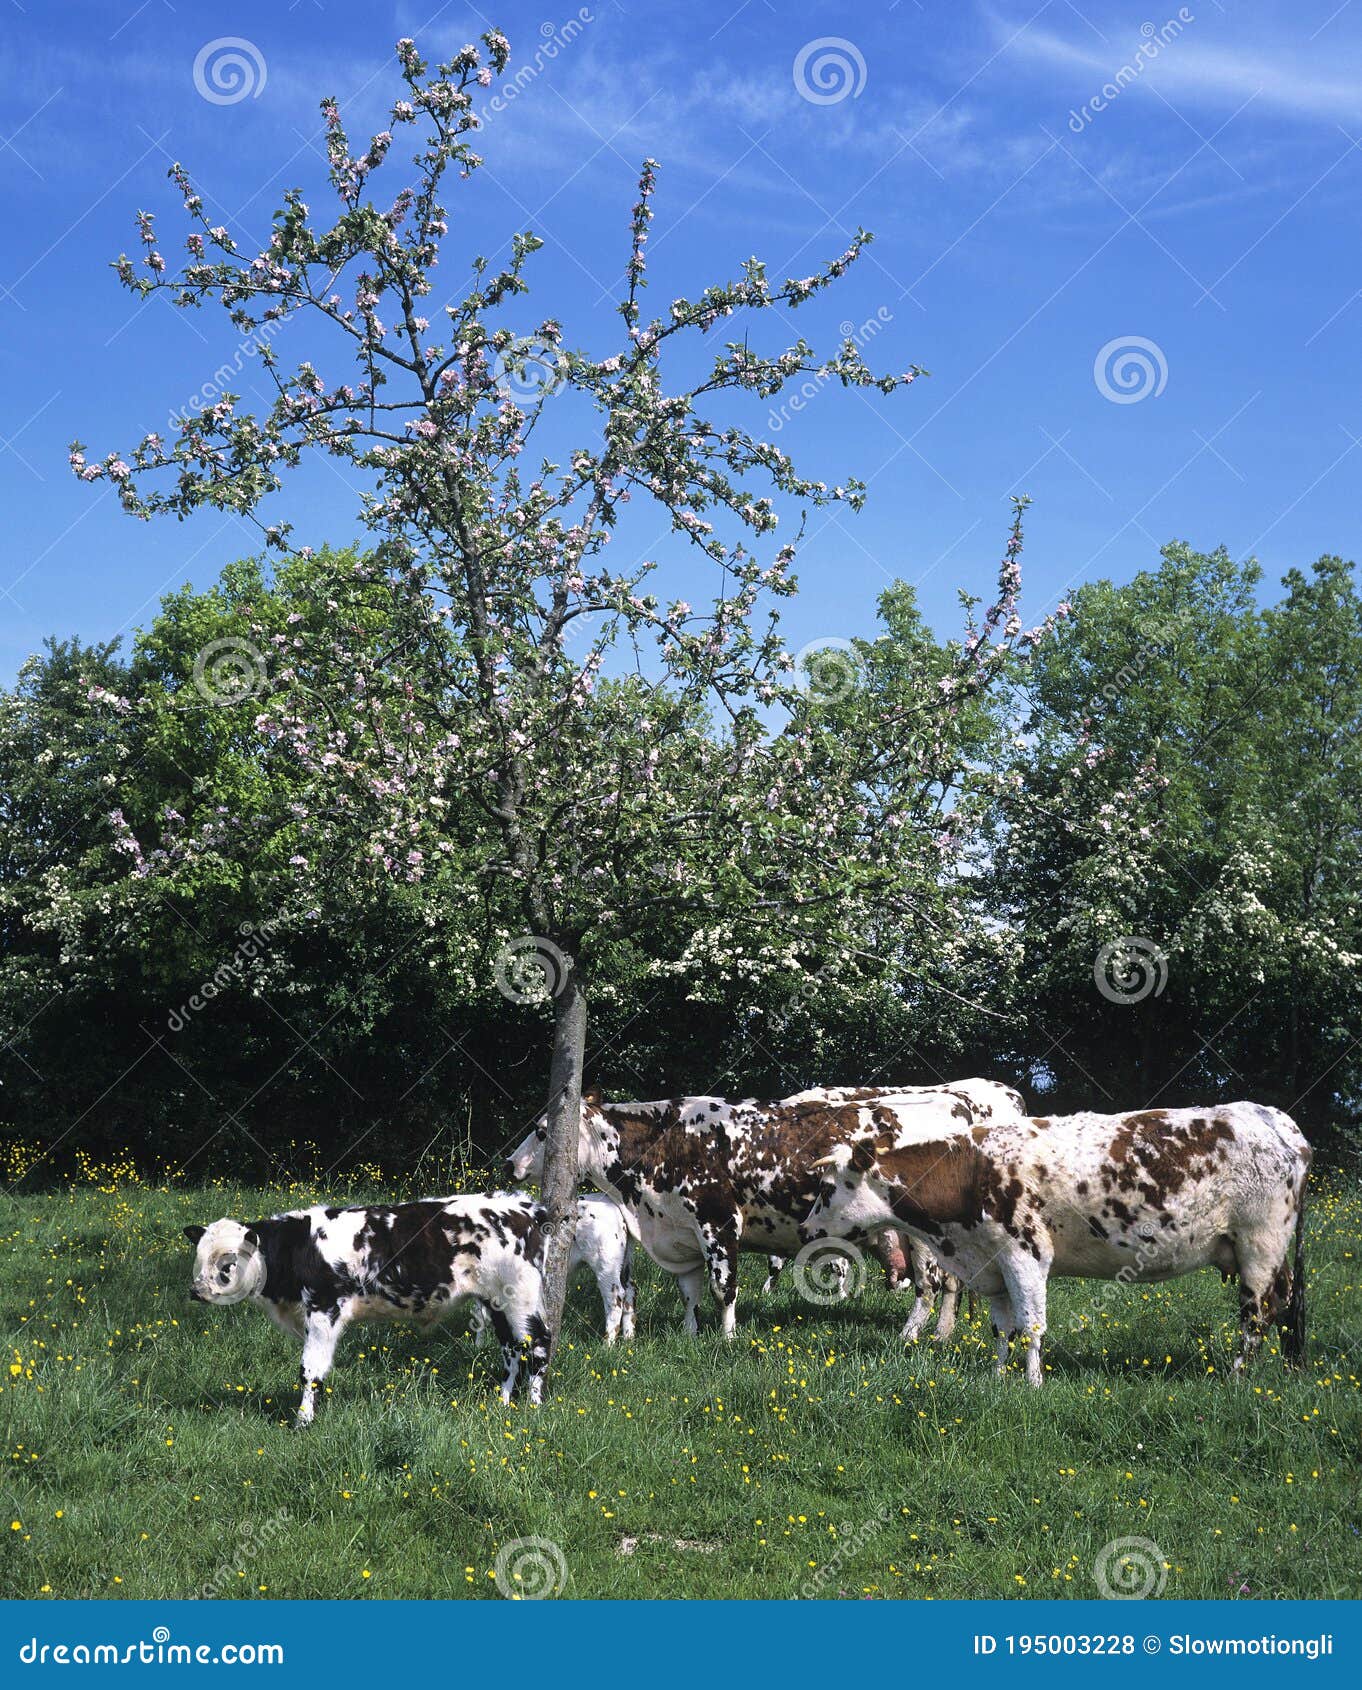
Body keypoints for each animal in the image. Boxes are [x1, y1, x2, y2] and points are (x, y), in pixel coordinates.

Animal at [184, 1193, 552, 1424]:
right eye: (200, 1256)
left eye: (227, 1263)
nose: (195, 1291)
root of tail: (523, 1206)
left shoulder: (323, 1309)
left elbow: (310, 1370)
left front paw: (303, 1420)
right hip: (496, 1302)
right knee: (511, 1349)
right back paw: (502, 1401)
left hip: (520, 1296)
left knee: (538, 1344)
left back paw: (533, 1405)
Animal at [506, 1079, 1025, 1339]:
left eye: (543, 1130)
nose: (510, 1163)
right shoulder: (679, 1230)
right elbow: (690, 1291)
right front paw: (692, 1335)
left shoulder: (718, 1223)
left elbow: (724, 1289)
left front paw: (727, 1340)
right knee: (948, 1284)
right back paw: (937, 1336)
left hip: (921, 1236)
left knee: (933, 1283)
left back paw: (914, 1335)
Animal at [806, 1103, 1311, 1385]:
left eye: (828, 1189)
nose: (809, 1230)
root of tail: (1279, 1121)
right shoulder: (992, 1263)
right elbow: (1001, 1327)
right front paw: (996, 1377)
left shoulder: (1025, 1254)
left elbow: (1031, 1325)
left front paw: (1032, 1384)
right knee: (1287, 1301)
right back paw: (1288, 1368)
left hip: (1259, 1245)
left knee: (1258, 1314)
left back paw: (1237, 1378)